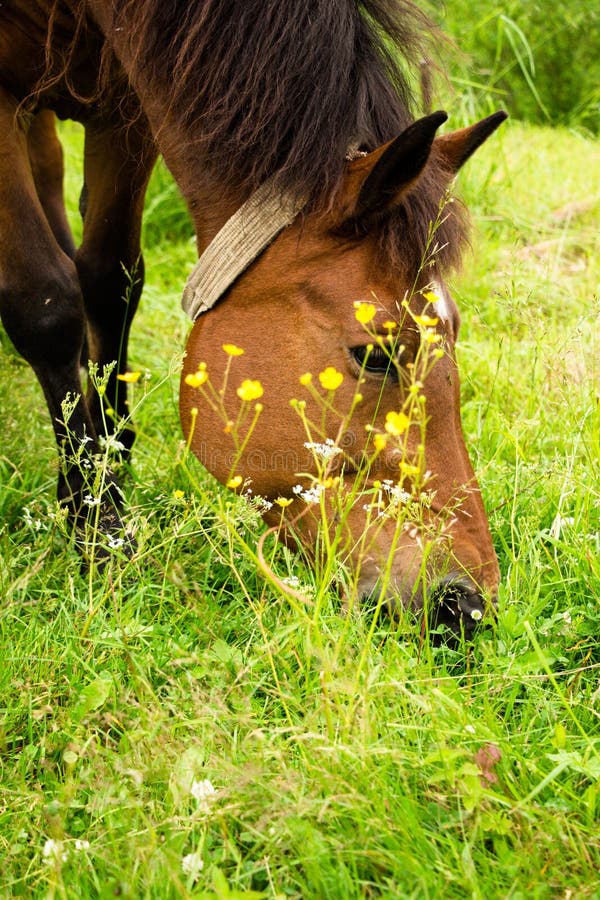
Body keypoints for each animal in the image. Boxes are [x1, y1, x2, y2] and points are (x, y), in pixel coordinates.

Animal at [0, 0, 505, 634]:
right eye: (375, 354)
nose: (466, 603)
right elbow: (44, 304)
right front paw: (97, 522)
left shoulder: (125, 110)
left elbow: (110, 280)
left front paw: (112, 459)